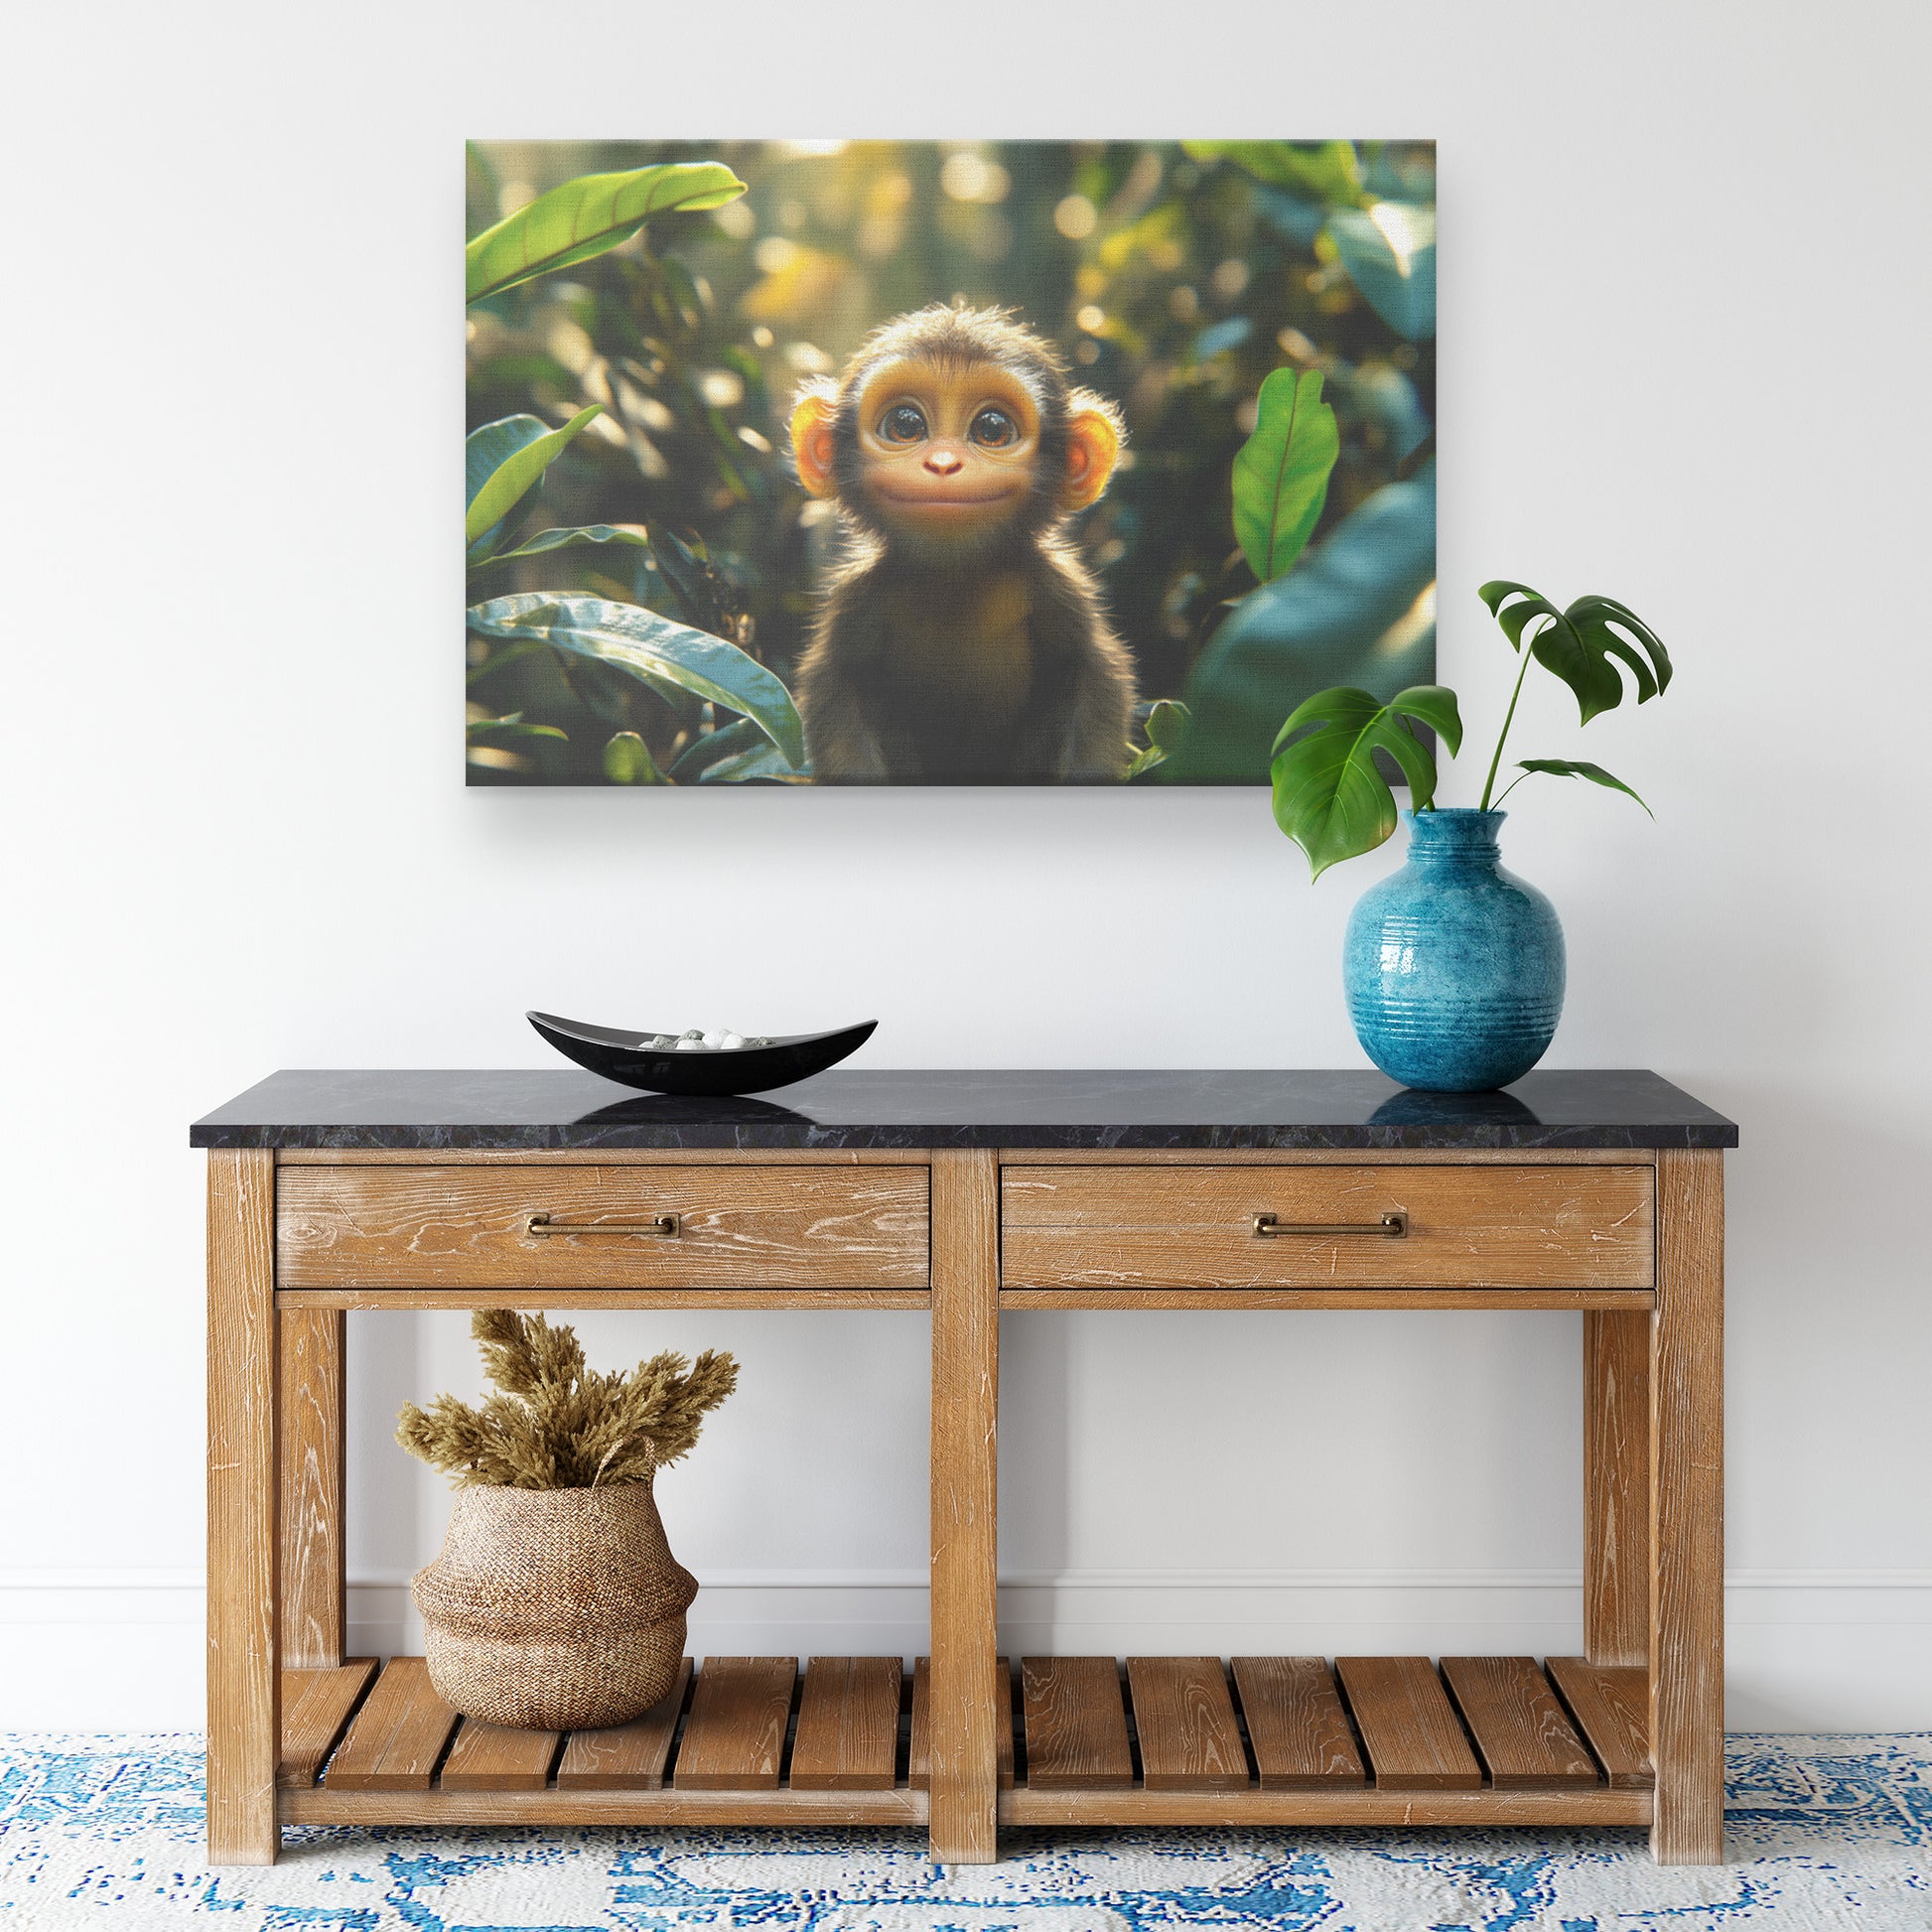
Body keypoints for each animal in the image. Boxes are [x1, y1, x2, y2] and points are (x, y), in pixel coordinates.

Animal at [787, 303, 1136, 783]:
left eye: (992, 429)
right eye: (905, 425)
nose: (943, 463)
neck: (955, 581)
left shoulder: (1057, 589)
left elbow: (1092, 672)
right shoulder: (858, 598)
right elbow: (836, 687)